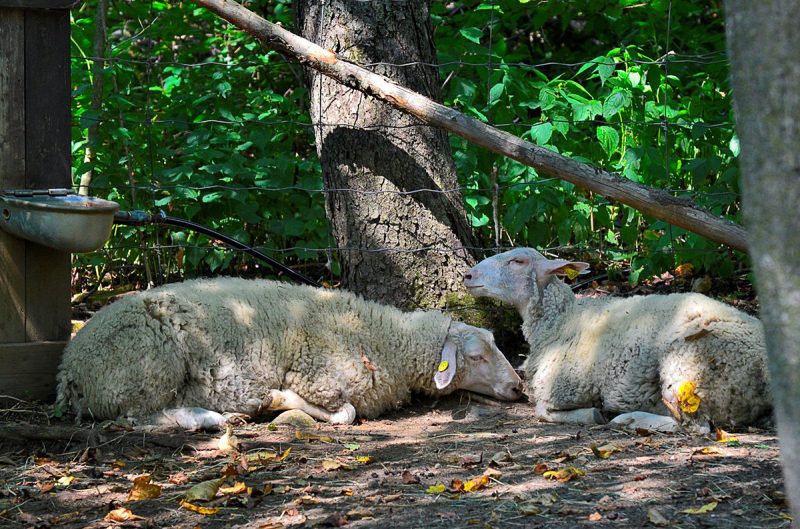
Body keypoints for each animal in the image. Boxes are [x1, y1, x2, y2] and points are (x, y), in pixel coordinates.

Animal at [56, 277, 523, 429]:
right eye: (477, 356)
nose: (519, 387)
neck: (380, 337)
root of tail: (69, 369)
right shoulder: (315, 376)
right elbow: (345, 414)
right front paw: (275, 402)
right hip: (143, 373)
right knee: (135, 419)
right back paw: (208, 418)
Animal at [464, 247, 771, 433]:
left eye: (518, 261)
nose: (468, 275)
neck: (562, 322)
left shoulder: (566, 387)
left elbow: (540, 410)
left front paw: (593, 414)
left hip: (688, 366)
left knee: (695, 425)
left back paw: (630, 419)